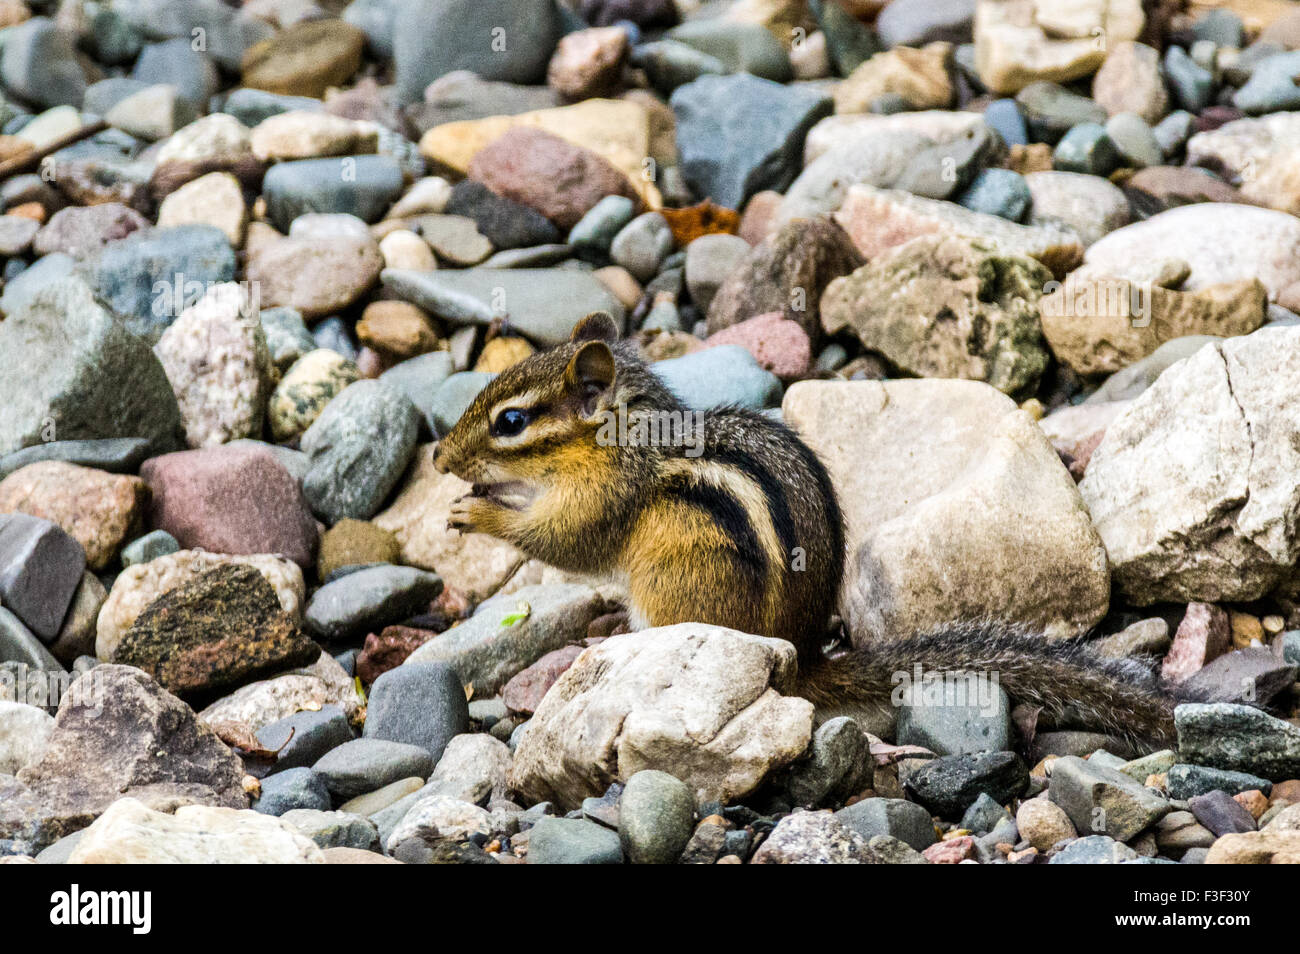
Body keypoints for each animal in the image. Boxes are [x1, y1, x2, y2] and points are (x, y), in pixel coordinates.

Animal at [433, 312, 1187, 749]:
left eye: (511, 422)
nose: (438, 458)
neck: (625, 440)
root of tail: (803, 656)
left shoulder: (606, 500)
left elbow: (566, 544)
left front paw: (478, 512)